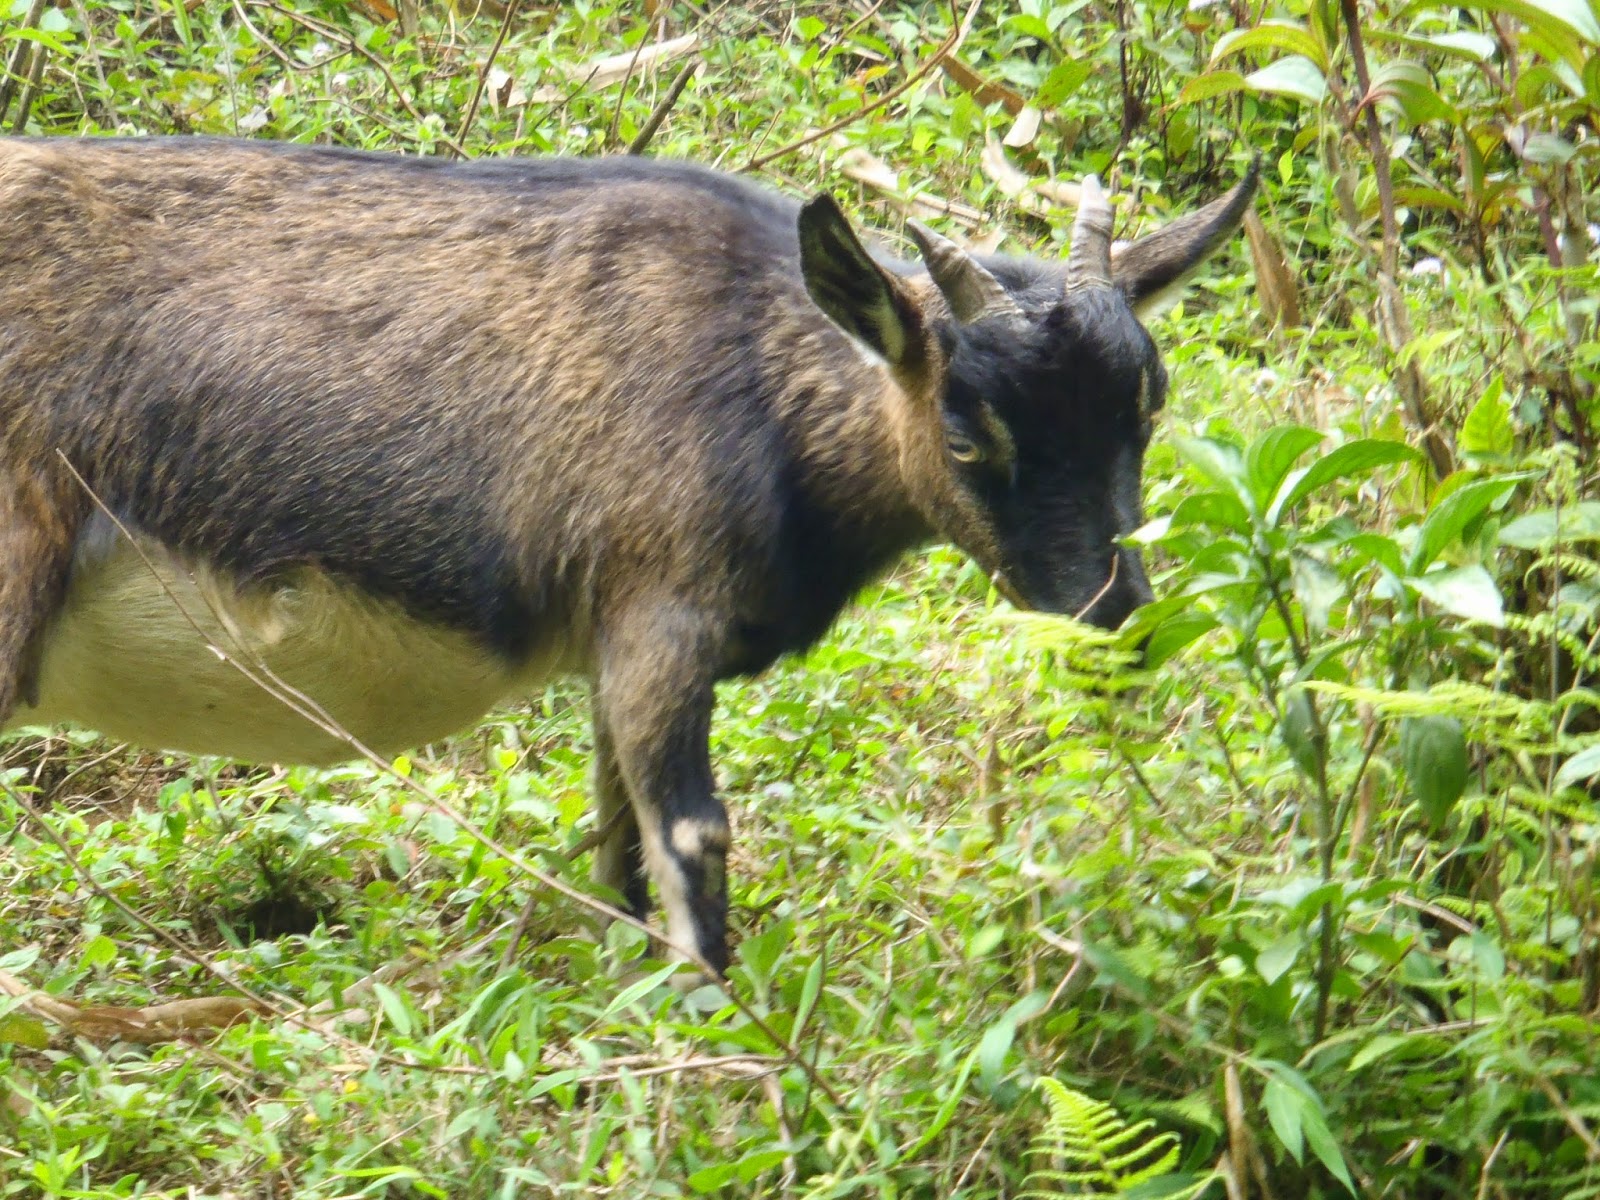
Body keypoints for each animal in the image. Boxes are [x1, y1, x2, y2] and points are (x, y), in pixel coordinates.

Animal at [0, 137, 1256, 973]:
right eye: (963, 434)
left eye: (1148, 403)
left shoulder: (613, 645)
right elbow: (692, 841)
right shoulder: (662, 604)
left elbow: (618, 854)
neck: (752, 372)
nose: (1114, 618)